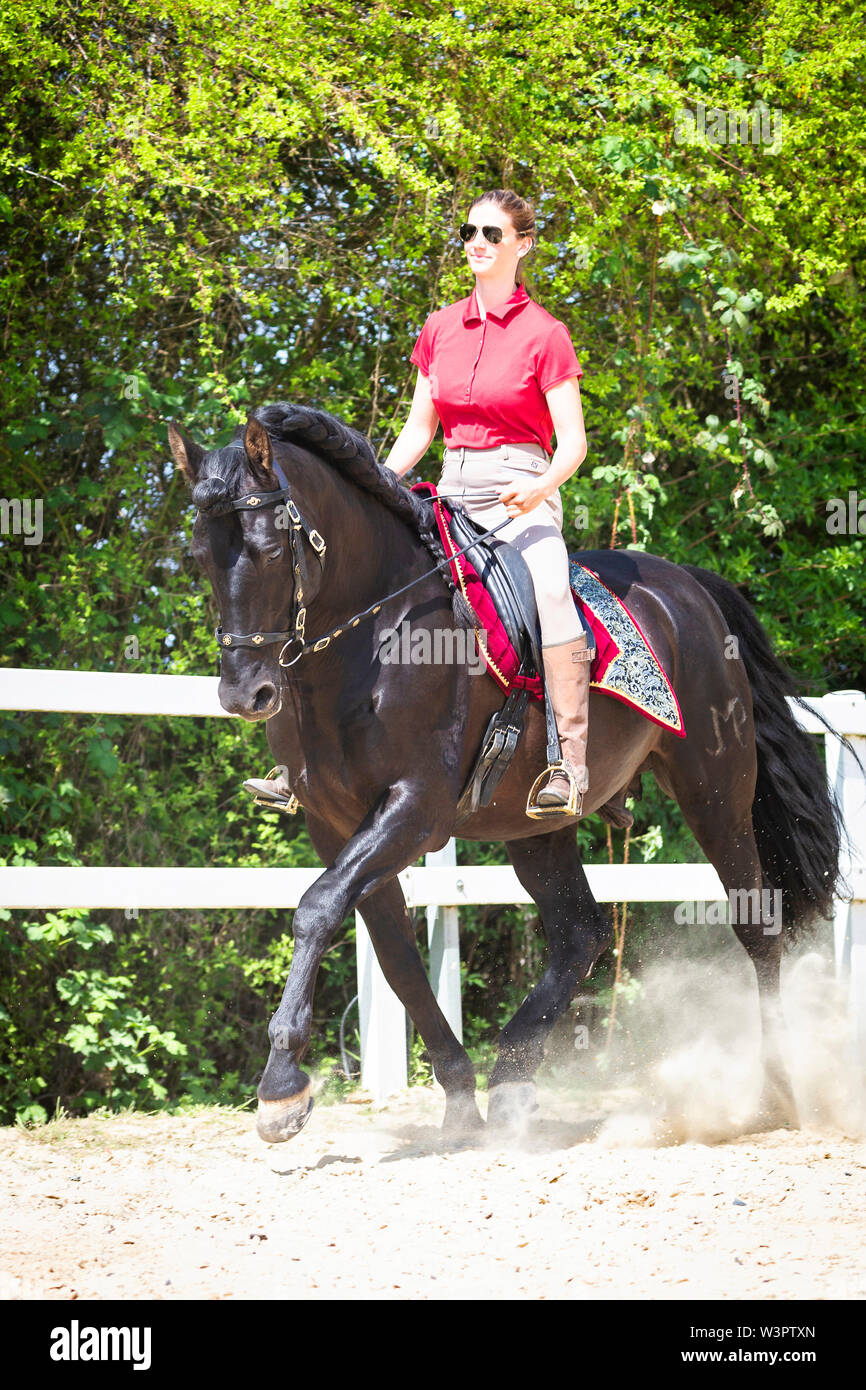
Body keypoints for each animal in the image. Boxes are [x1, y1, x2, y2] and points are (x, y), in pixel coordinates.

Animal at [169, 402, 843, 1144]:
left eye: (268, 550)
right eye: (198, 555)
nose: (245, 694)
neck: (372, 639)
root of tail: (689, 587)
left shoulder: (416, 809)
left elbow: (318, 909)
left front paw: (281, 1086)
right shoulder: (335, 825)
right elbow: (395, 956)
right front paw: (461, 1098)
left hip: (714, 791)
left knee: (756, 925)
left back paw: (773, 1094)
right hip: (535, 825)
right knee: (579, 932)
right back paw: (515, 1079)